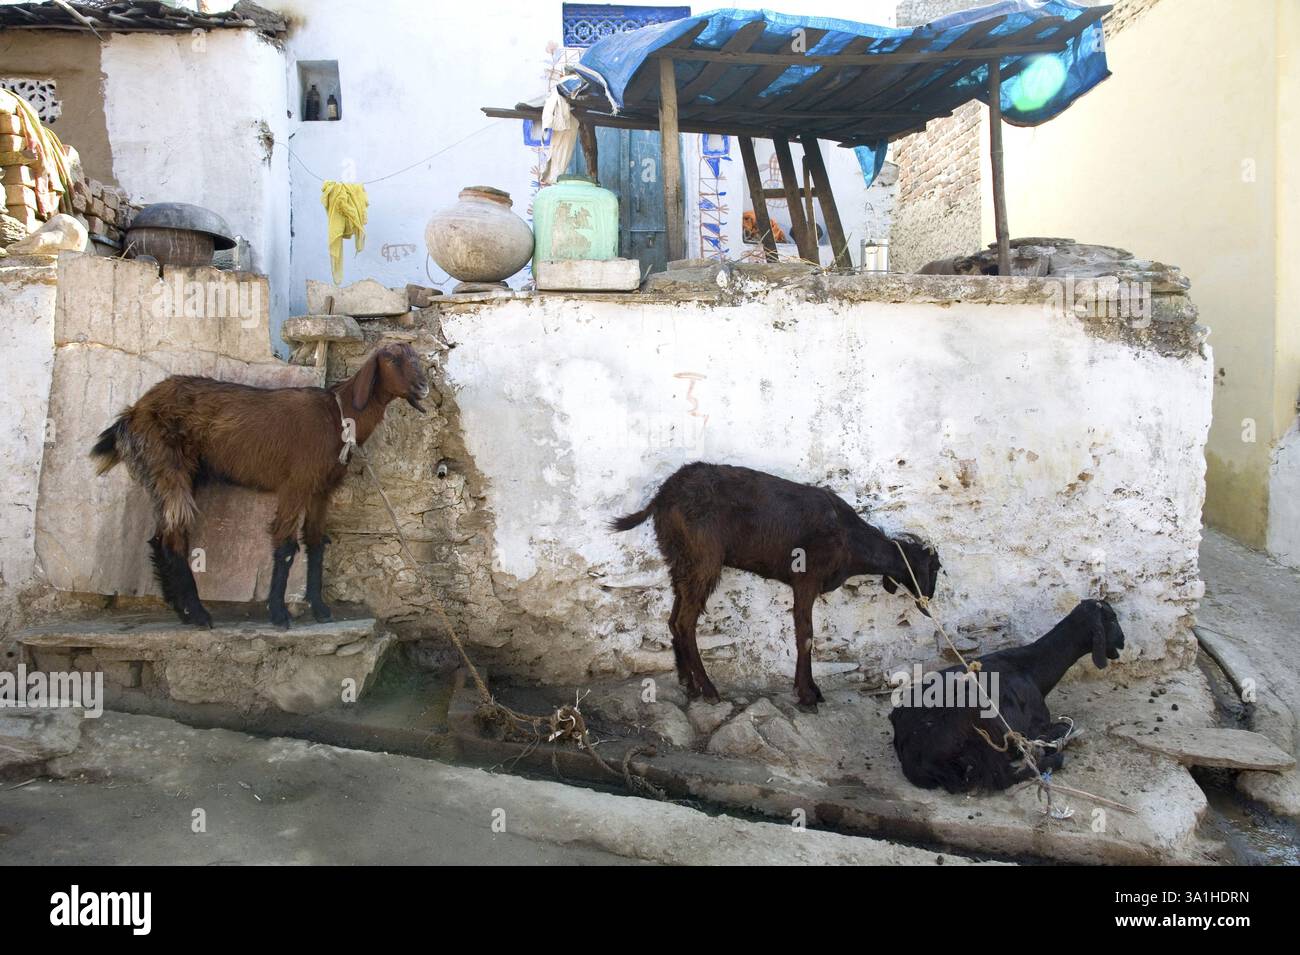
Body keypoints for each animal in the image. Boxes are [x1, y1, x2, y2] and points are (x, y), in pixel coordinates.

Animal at [90, 342, 431, 629]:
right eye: (391, 359)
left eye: (415, 357)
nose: (423, 386)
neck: (338, 416)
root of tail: (132, 413)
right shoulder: (296, 484)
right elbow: (286, 547)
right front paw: (278, 614)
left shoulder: (321, 490)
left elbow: (316, 543)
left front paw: (320, 609)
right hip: (168, 467)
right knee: (173, 538)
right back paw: (198, 614)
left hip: (179, 475)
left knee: (164, 536)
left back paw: (183, 611)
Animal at [611, 462, 941, 709]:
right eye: (936, 568)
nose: (927, 604)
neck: (849, 538)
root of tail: (663, 494)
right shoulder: (806, 579)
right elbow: (805, 635)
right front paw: (807, 694)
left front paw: (810, 689)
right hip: (704, 559)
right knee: (685, 622)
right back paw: (708, 689)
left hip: (679, 559)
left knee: (673, 619)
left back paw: (690, 683)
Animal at [889, 598, 1125, 793]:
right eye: (1112, 619)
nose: (1122, 640)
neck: (1031, 667)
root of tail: (912, 753)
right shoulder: (1030, 726)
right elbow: (1060, 727)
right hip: (983, 731)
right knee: (1000, 776)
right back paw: (1049, 759)